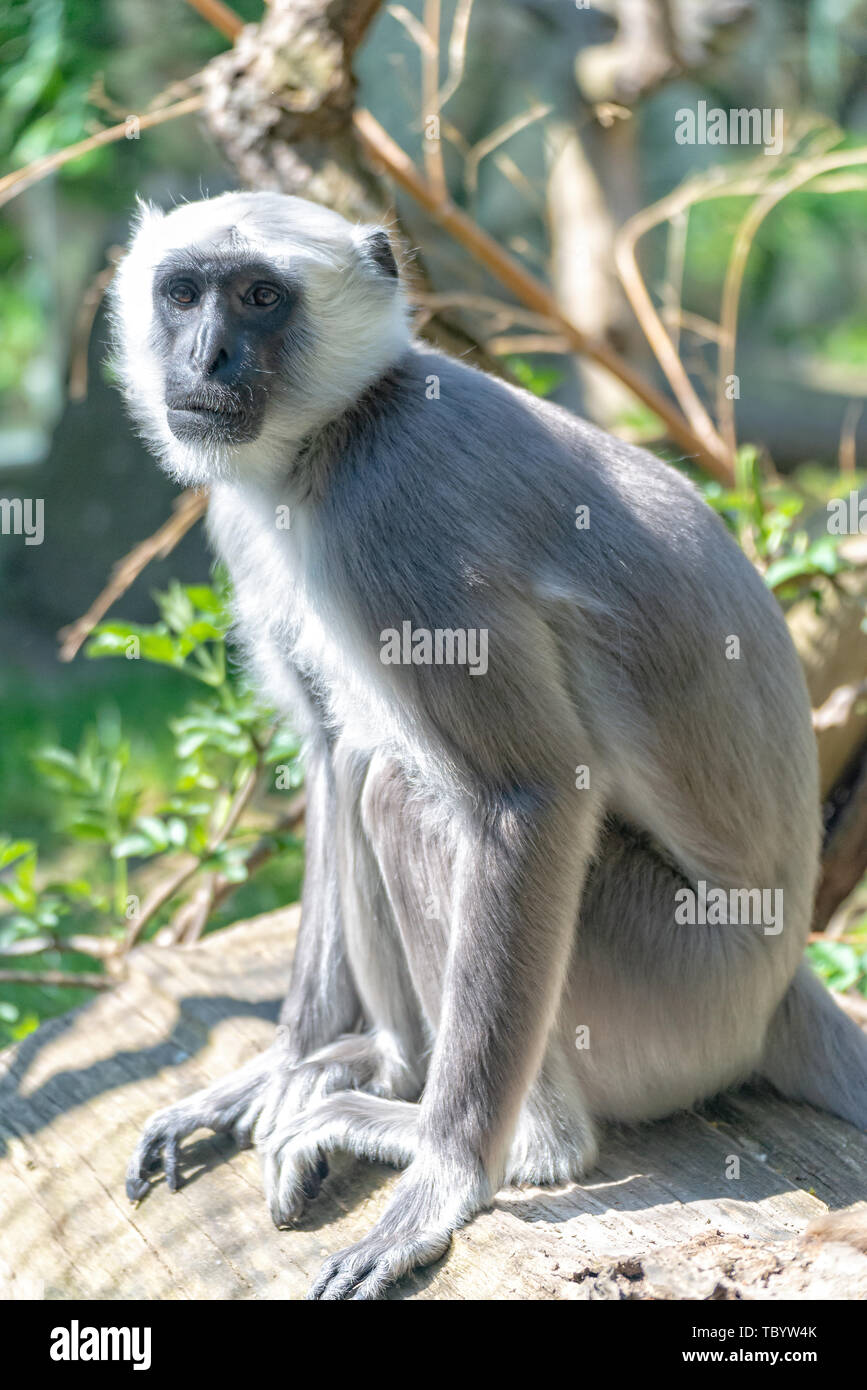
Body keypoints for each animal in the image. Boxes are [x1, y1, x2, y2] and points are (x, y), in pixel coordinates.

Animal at [112, 191, 867, 1300]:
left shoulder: (394, 516)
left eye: (257, 297)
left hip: (676, 985)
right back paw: (379, 1062)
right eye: (181, 293)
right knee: (369, 765)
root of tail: (778, 983)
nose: (206, 356)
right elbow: (328, 749)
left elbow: (529, 793)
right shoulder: (258, 523)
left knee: (409, 793)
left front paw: (446, 1182)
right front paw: (279, 1064)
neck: (343, 430)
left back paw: (523, 1147)